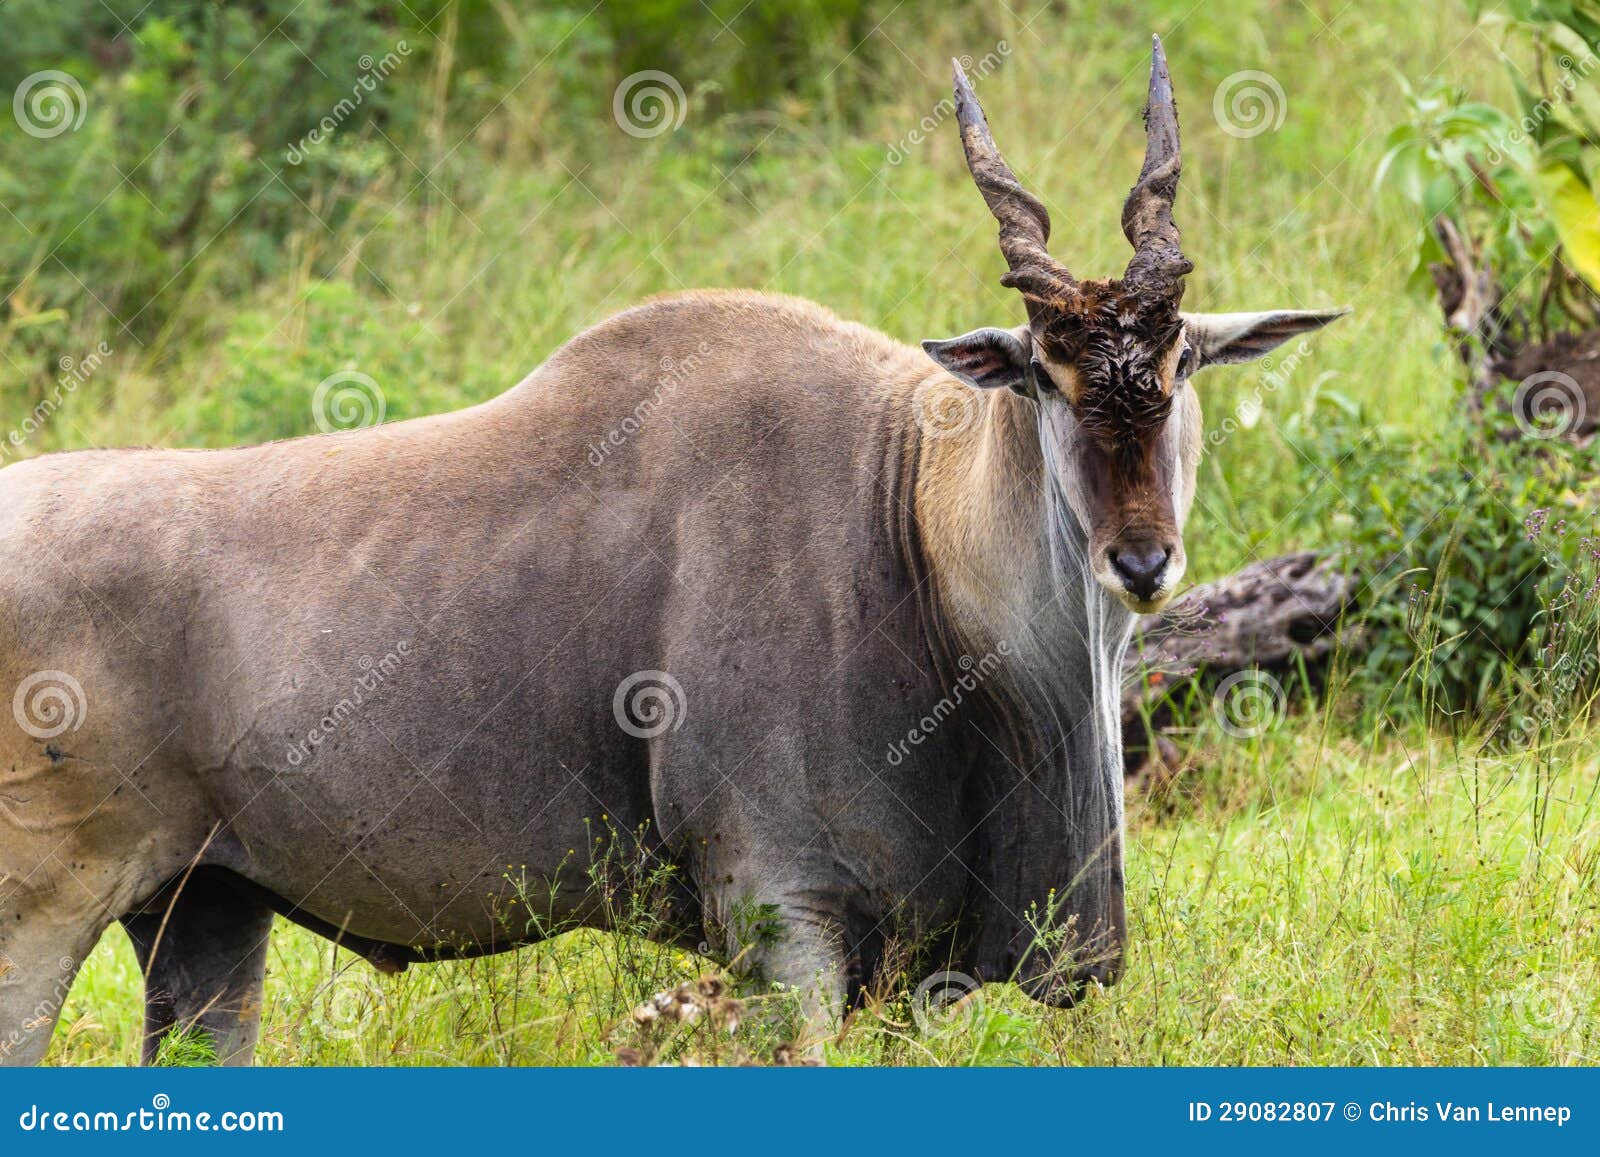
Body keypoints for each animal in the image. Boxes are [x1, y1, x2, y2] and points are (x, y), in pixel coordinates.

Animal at [0, 37, 1344, 1065]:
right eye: (1049, 379)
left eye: (1179, 365)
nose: (1141, 561)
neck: (904, 518)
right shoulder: (785, 919)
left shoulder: (904, 968)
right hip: (44, 914)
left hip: (202, 911)